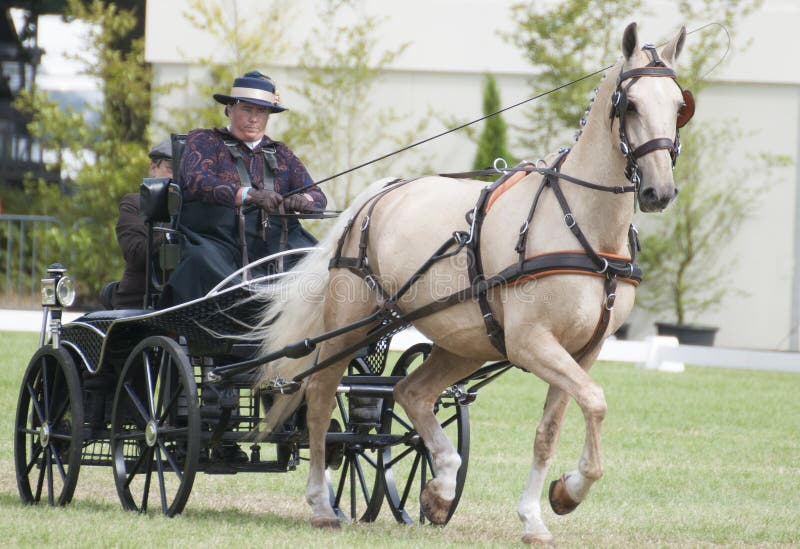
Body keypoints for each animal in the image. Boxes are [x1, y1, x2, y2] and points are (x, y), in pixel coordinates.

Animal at [254, 22, 692, 545]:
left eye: (679, 105)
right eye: (631, 105)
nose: (660, 191)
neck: (583, 227)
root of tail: (380, 194)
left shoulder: (584, 350)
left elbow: (553, 428)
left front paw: (545, 508)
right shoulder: (530, 342)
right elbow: (597, 401)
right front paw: (567, 492)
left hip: (465, 341)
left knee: (410, 393)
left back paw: (440, 487)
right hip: (350, 325)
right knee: (321, 398)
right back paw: (323, 505)